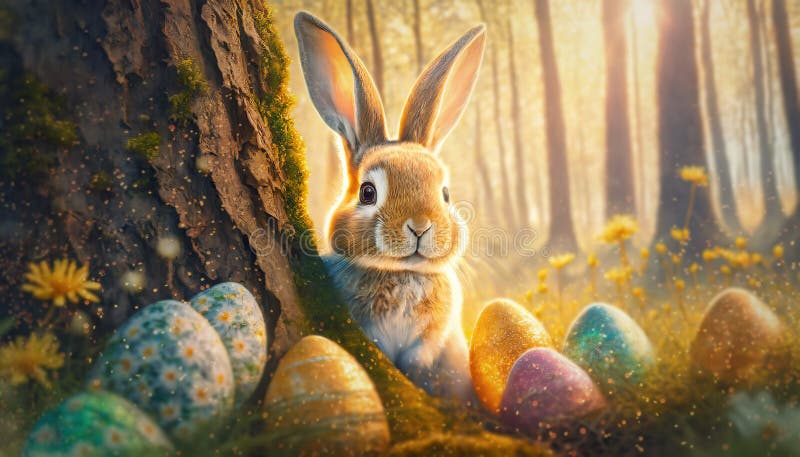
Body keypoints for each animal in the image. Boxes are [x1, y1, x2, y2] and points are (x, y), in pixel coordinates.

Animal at [294, 12, 486, 401]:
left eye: (445, 193)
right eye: (368, 193)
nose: (420, 226)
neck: (403, 274)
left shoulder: (432, 334)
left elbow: (420, 355)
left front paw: (416, 373)